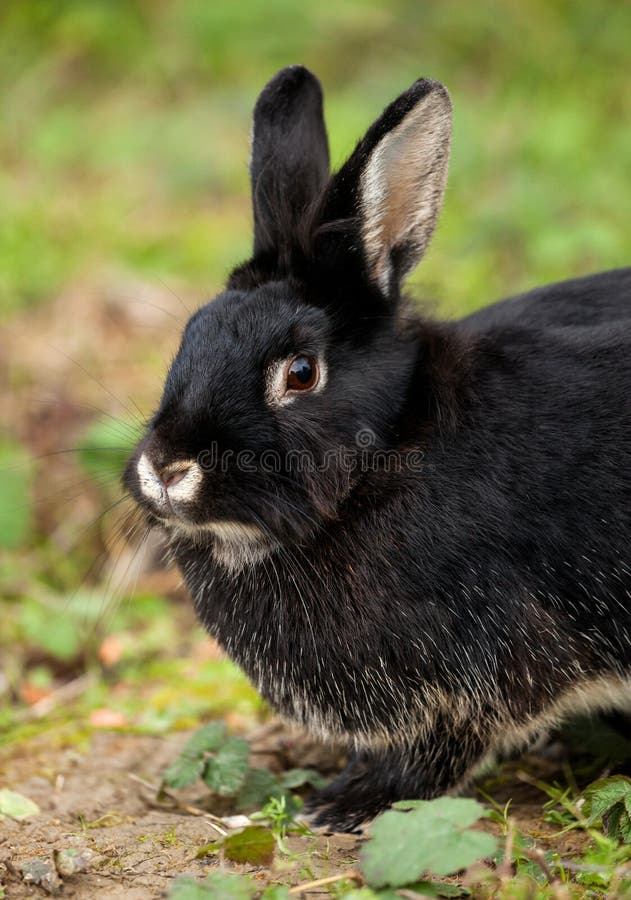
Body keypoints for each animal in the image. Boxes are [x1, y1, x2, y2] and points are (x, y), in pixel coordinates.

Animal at [124, 65, 631, 832]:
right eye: (190, 337)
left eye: (301, 372)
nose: (167, 469)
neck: (388, 451)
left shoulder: (484, 667)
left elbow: (444, 747)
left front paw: (343, 805)